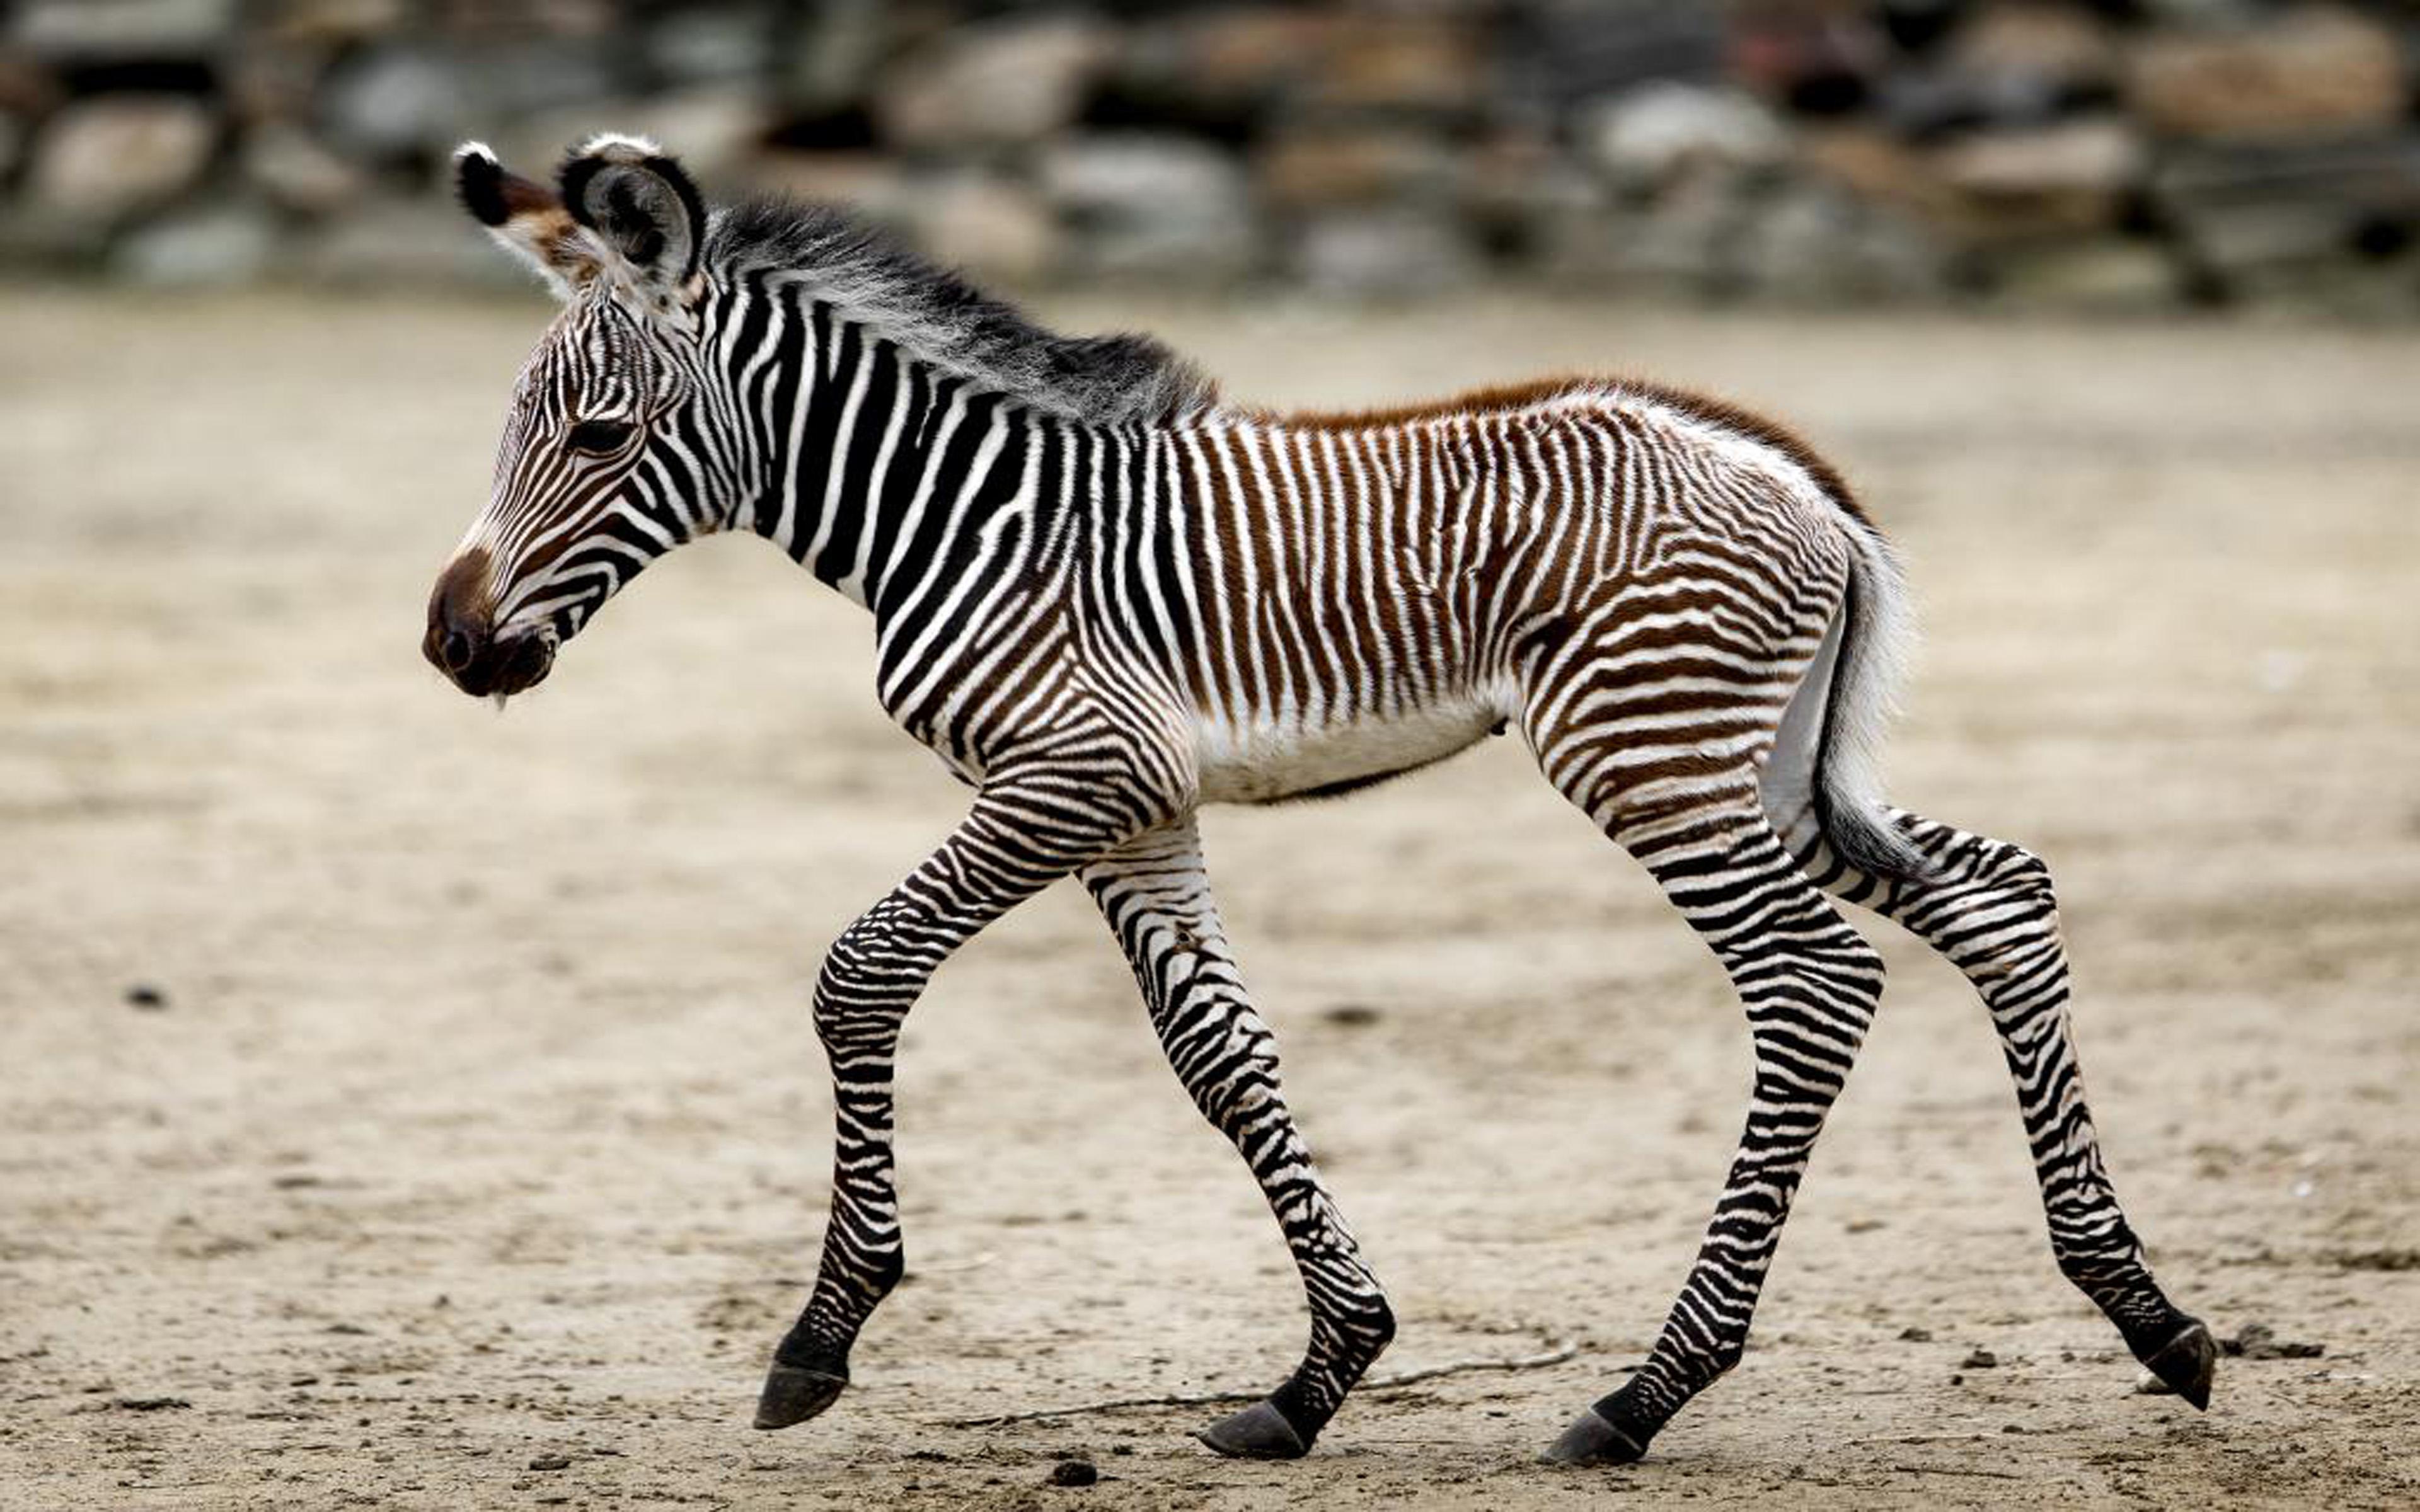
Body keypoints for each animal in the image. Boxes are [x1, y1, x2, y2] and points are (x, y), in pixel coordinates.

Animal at [425, 133, 2215, 1465]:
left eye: (602, 432)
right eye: (513, 428)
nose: (453, 646)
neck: (960, 515)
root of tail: (1800, 480)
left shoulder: (1067, 774)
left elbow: (860, 974)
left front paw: (823, 1333)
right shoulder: (1133, 806)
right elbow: (1221, 1058)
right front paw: (1319, 1371)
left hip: (1650, 755)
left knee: (1816, 982)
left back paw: (1642, 1396)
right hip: (1770, 766)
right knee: (2002, 894)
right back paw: (2151, 1316)